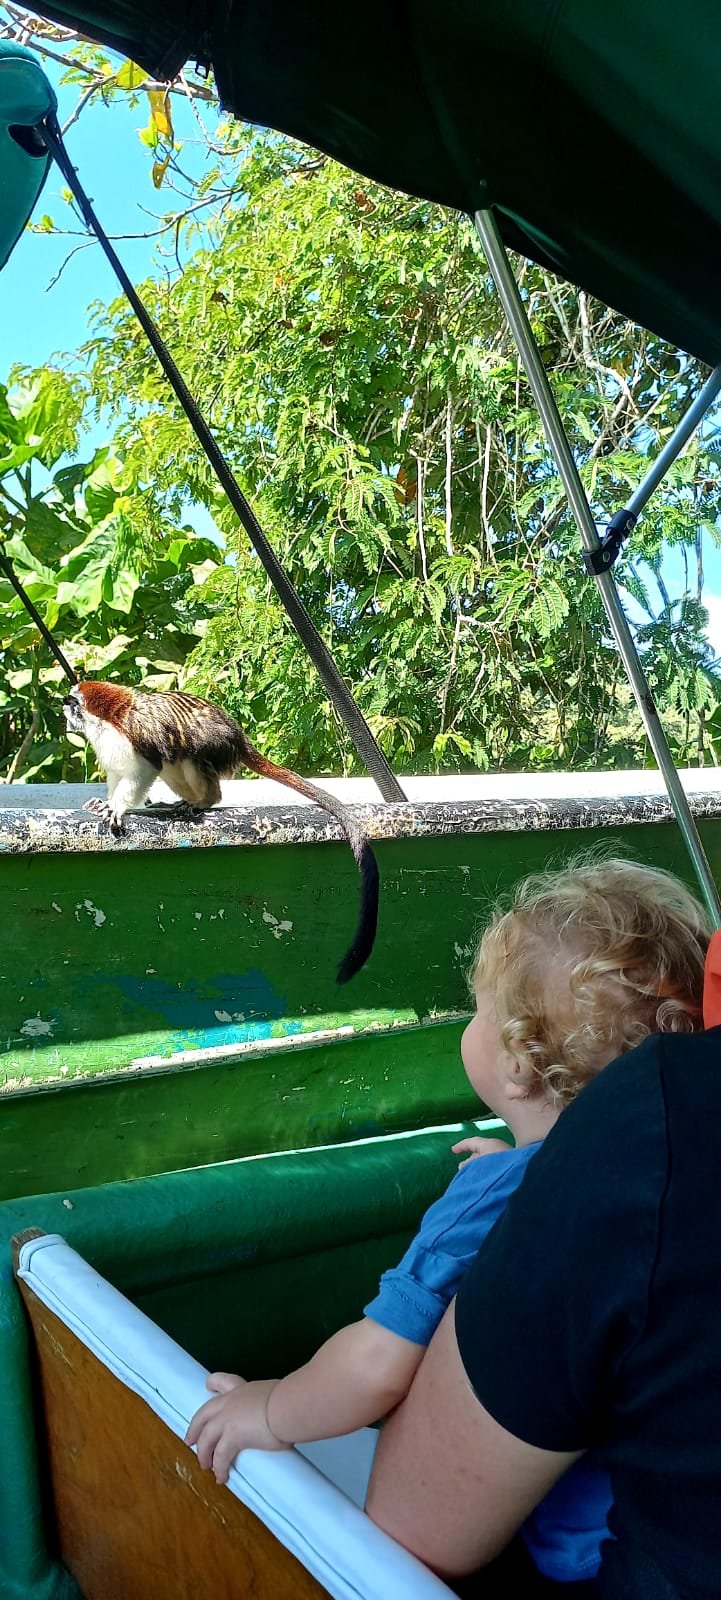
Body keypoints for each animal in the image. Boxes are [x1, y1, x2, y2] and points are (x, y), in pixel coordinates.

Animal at [63, 681, 379, 985]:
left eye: (70, 704)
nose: (65, 712)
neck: (103, 722)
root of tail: (239, 736)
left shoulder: (134, 736)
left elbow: (147, 767)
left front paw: (118, 807)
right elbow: (120, 774)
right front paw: (105, 803)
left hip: (219, 745)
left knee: (187, 752)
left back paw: (206, 799)